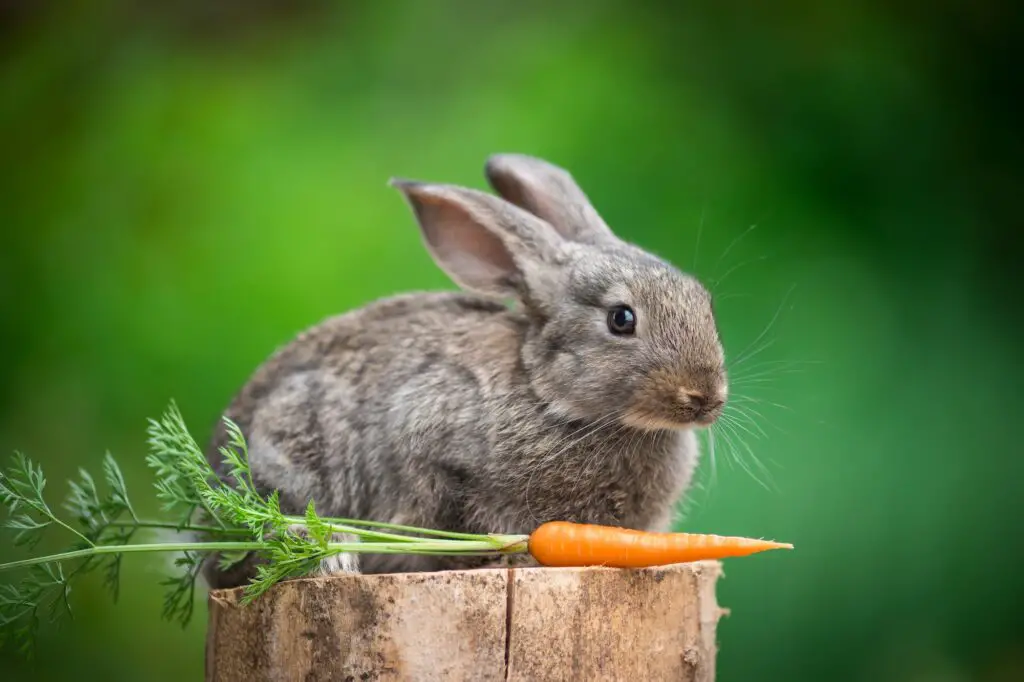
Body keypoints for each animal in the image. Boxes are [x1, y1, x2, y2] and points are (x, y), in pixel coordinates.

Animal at [201, 153, 728, 589]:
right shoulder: (427, 440)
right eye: (621, 319)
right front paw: (506, 559)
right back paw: (329, 556)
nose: (706, 397)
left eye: (705, 302)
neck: (549, 395)